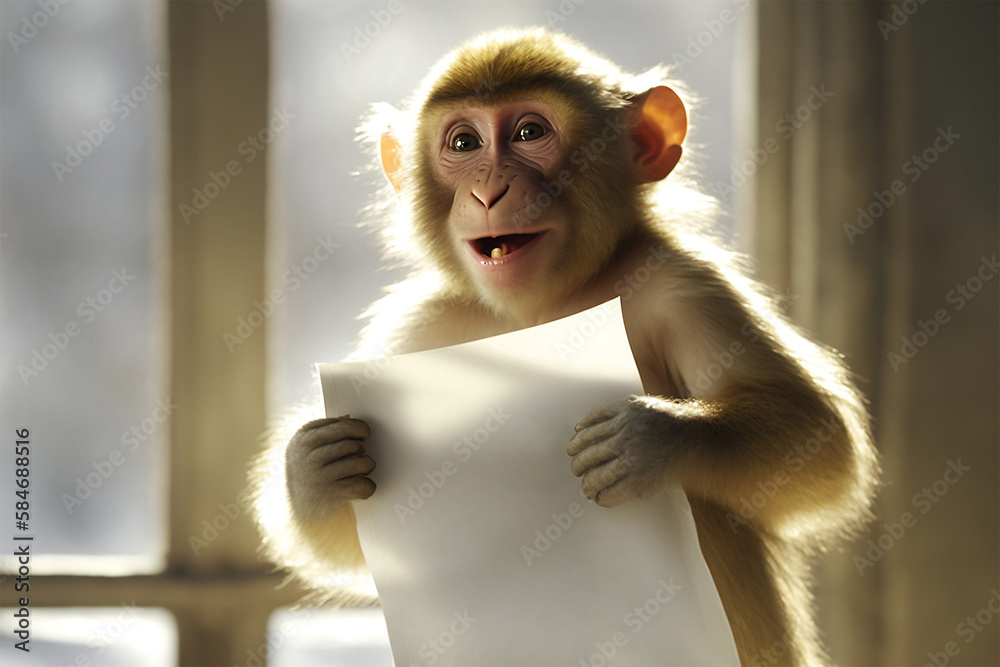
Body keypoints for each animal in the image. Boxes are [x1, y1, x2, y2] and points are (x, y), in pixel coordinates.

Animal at [250, 28, 879, 666]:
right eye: (464, 142)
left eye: (530, 133)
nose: (488, 191)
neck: (547, 308)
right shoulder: (419, 324)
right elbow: (354, 547)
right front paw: (314, 467)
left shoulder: (683, 285)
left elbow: (820, 441)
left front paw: (653, 438)